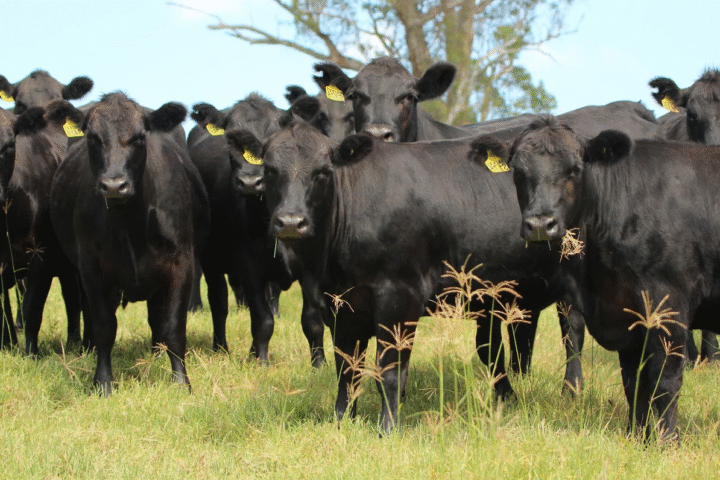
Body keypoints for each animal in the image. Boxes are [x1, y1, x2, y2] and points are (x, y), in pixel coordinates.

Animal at [49, 93, 209, 394]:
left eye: (138, 137)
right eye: (92, 137)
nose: (114, 185)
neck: (130, 224)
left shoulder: (182, 263)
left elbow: (173, 327)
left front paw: (181, 383)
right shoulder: (91, 267)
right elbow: (103, 326)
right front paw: (102, 383)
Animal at [187, 94, 326, 367]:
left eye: (272, 137)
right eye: (230, 138)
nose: (250, 182)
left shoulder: (312, 266)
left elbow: (312, 320)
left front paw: (319, 364)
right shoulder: (249, 266)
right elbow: (262, 319)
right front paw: (261, 363)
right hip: (211, 260)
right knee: (219, 303)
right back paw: (221, 348)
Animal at [235, 114, 588, 433]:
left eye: (323, 172)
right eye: (269, 170)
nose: (291, 222)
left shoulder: (398, 296)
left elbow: (389, 370)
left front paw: (389, 427)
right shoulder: (339, 305)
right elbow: (347, 369)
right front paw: (342, 421)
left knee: (572, 334)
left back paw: (571, 392)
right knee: (494, 348)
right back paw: (508, 399)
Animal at [505, 116, 720, 441]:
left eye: (575, 169)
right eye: (518, 171)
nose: (541, 224)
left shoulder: (668, 307)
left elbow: (664, 382)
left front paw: (667, 441)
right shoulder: (625, 311)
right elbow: (634, 383)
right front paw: (637, 437)